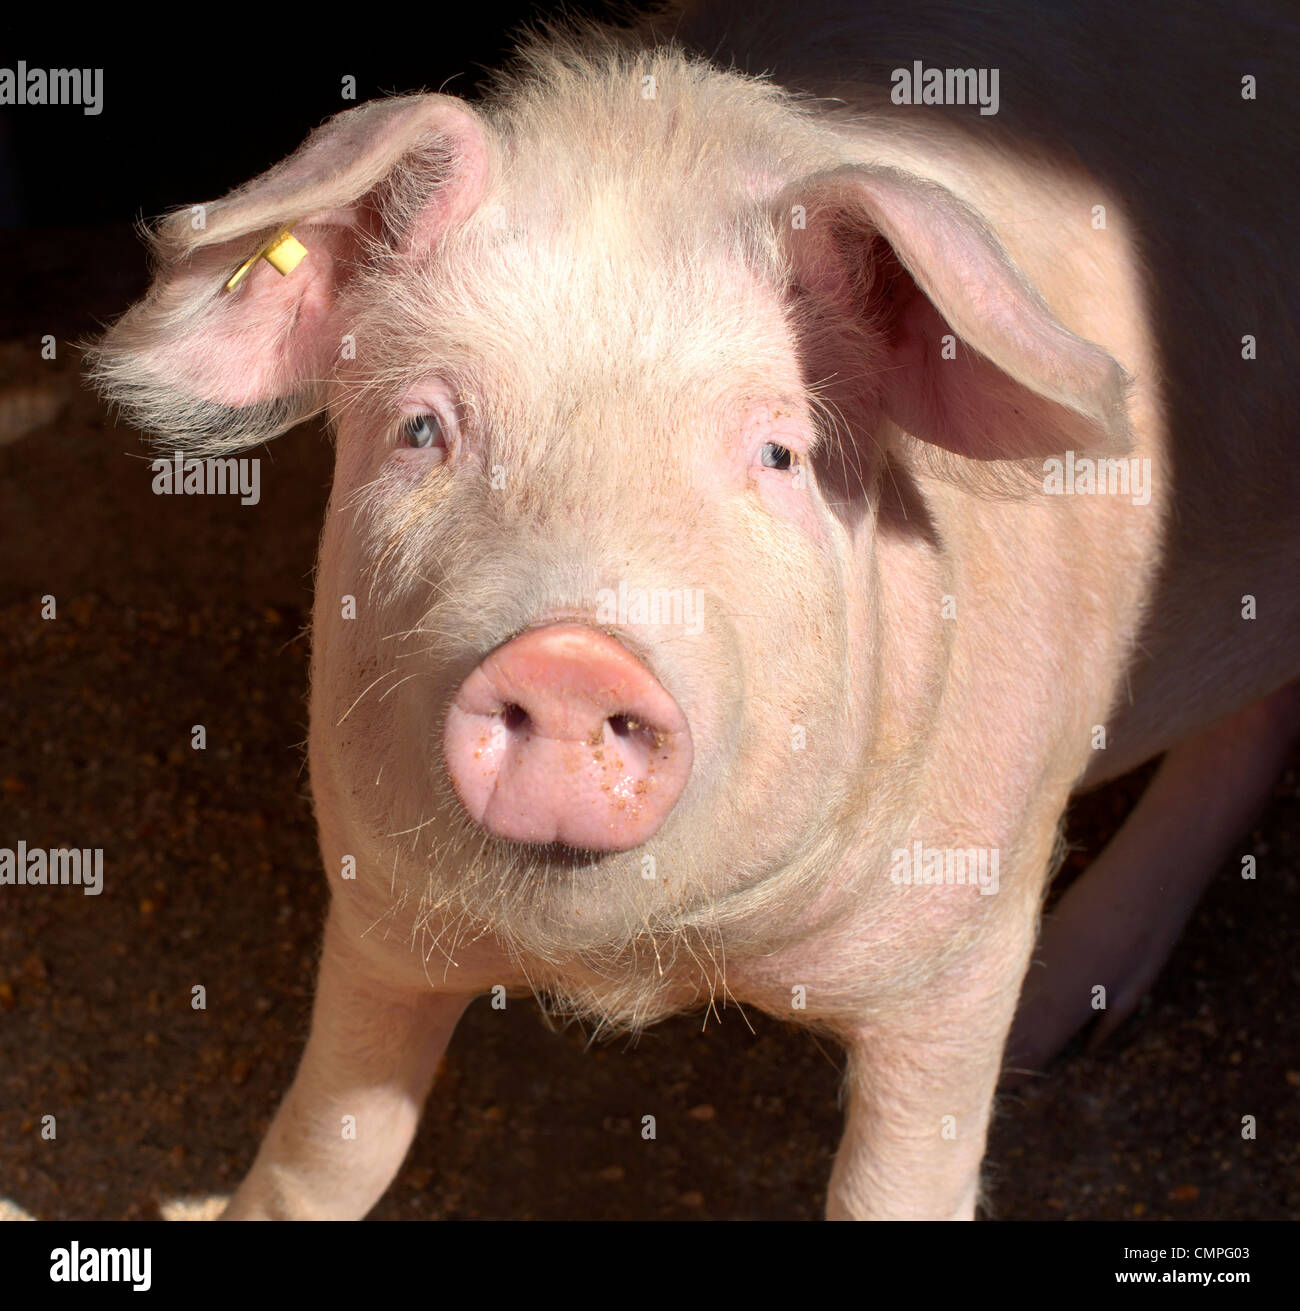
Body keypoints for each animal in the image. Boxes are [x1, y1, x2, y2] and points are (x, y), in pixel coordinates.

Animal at [88, 0, 1300, 1219]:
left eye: (779, 453)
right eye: (423, 427)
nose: (572, 660)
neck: (648, 961)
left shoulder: (966, 928)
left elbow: (900, 1176)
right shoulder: (372, 883)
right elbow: (330, 1149)